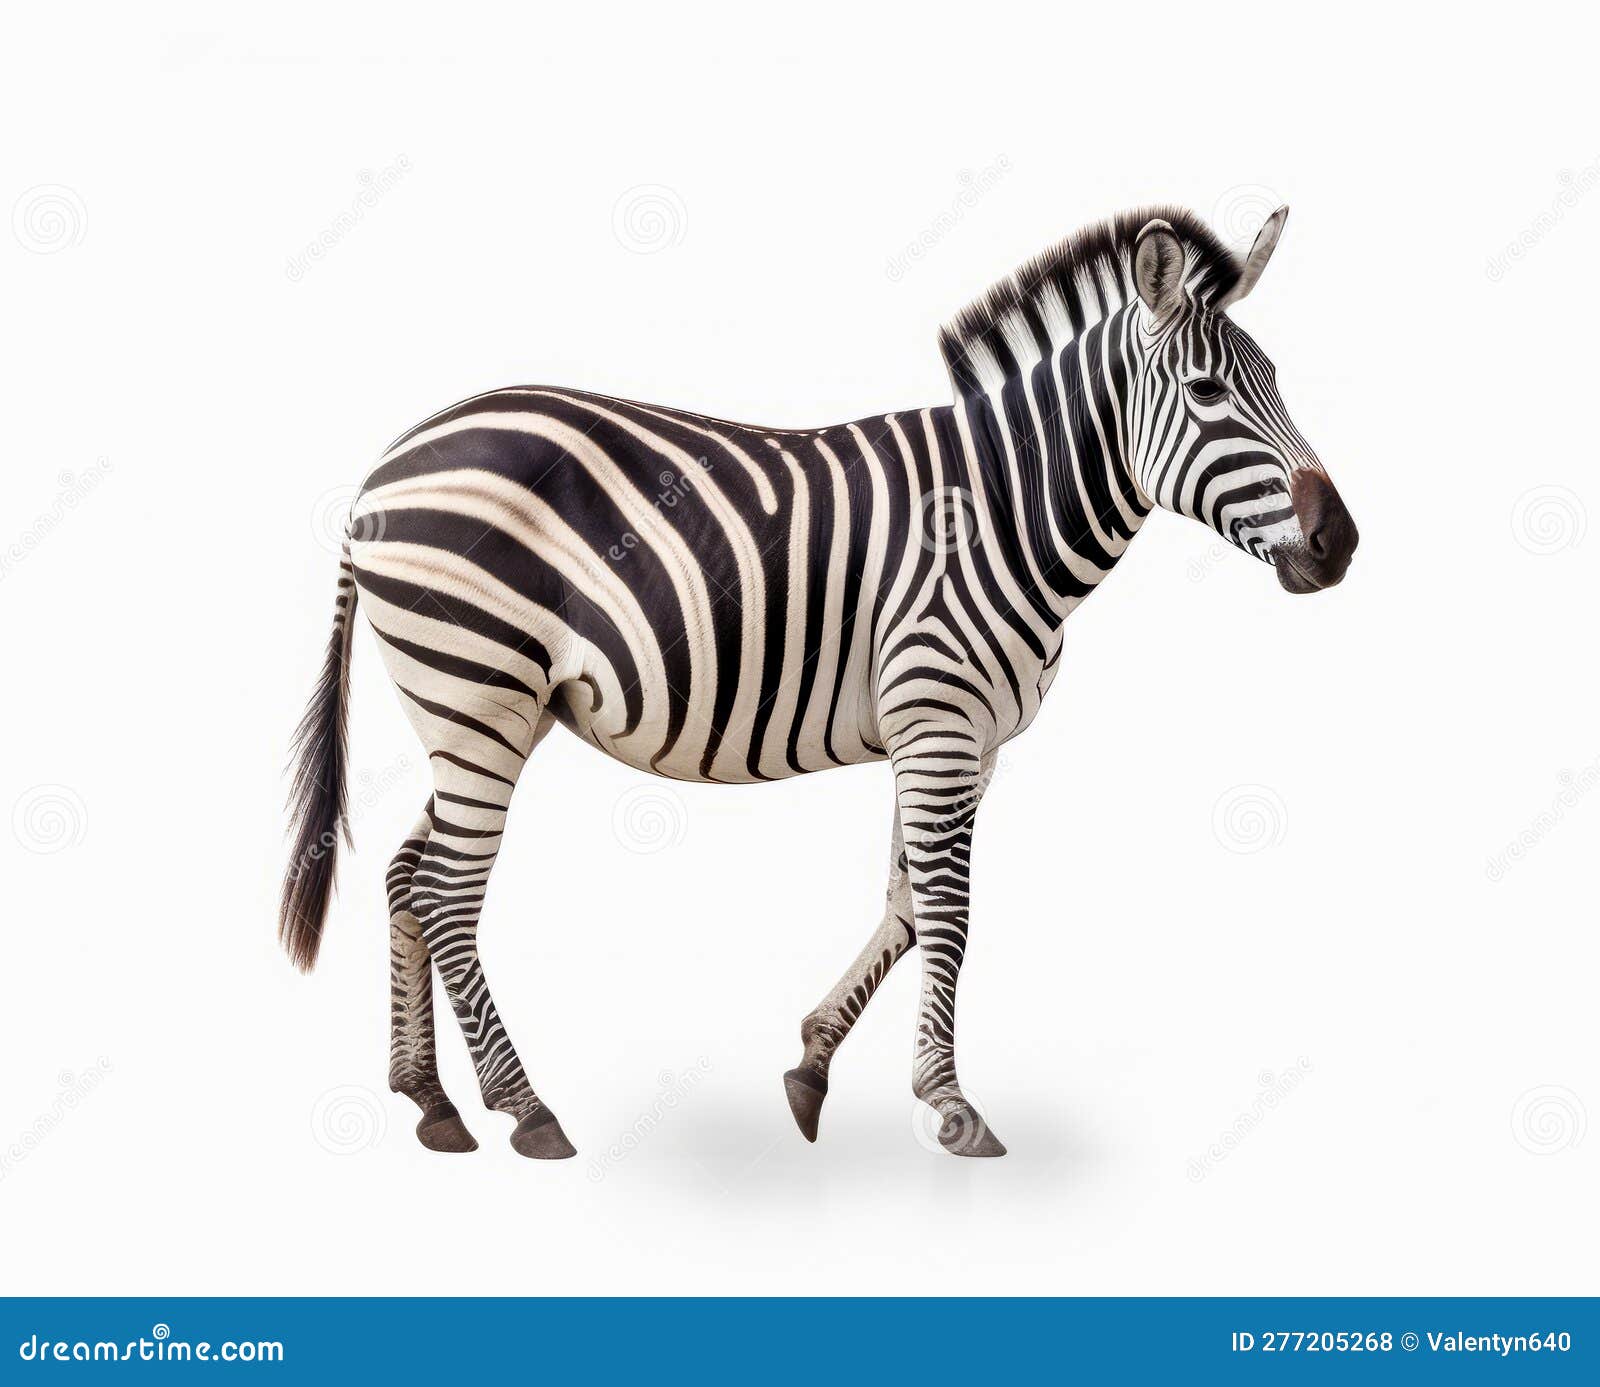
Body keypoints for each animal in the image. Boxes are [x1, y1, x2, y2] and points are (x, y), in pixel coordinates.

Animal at [280, 203, 1357, 1160]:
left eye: (1276, 378)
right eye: (1209, 392)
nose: (1339, 542)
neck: (1002, 511)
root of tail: (385, 465)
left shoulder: (967, 740)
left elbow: (908, 905)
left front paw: (810, 1069)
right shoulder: (937, 718)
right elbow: (951, 911)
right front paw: (950, 1105)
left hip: (486, 709)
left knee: (407, 875)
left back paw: (429, 1100)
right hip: (479, 689)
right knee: (449, 891)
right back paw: (524, 1109)